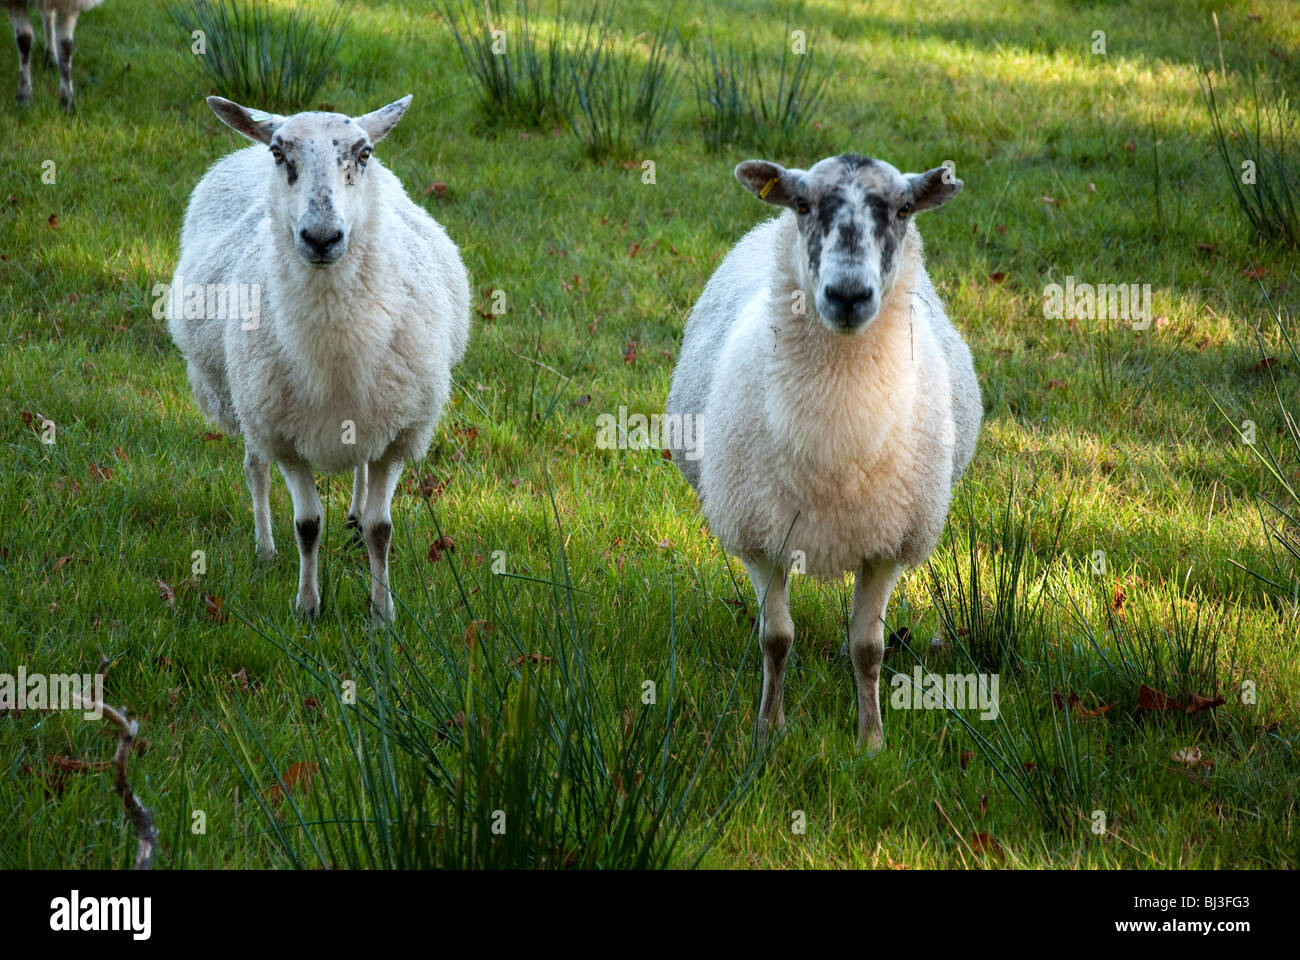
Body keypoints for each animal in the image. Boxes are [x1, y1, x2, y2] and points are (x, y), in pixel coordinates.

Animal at [166, 94, 471, 622]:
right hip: (245, 399)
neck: (335, 348)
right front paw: (308, 607)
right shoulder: (283, 434)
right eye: (279, 153)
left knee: (359, 470)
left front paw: (382, 614)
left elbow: (382, 528)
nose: (322, 238)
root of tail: (239, 154)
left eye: (364, 154)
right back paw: (264, 550)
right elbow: (307, 525)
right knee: (254, 468)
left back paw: (353, 515)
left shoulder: (398, 432)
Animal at [665, 153, 981, 748]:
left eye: (904, 208)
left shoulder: (888, 542)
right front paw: (769, 729)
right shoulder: (761, 537)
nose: (848, 295)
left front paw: (870, 741)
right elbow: (776, 639)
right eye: (803, 203)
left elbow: (869, 647)